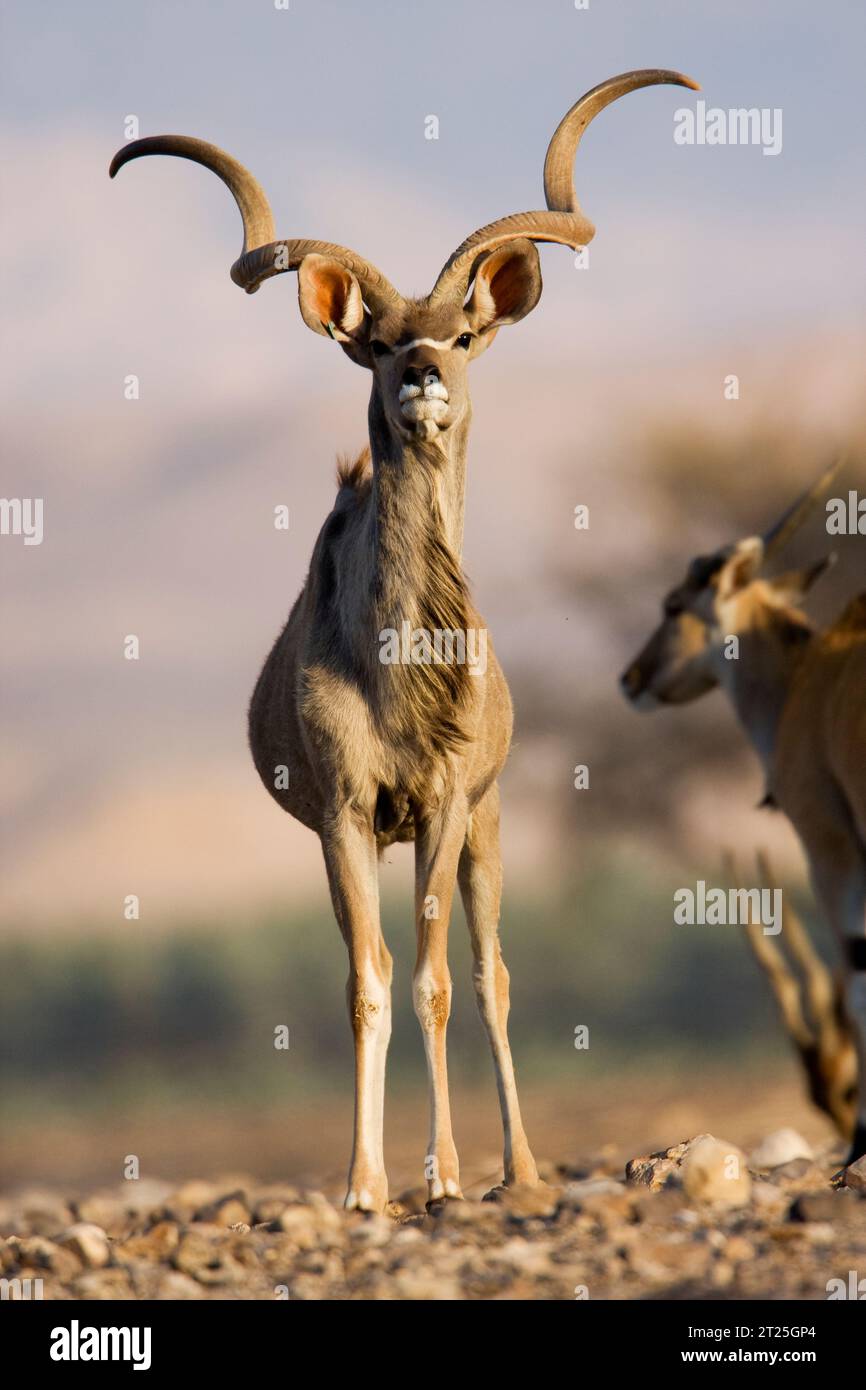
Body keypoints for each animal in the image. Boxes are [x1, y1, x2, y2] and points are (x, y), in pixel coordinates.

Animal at [111, 67, 698, 1213]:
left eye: (461, 336)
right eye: (378, 341)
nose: (423, 372)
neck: (400, 669)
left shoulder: (444, 803)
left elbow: (436, 981)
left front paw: (446, 1178)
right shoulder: (345, 815)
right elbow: (368, 984)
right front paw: (363, 1185)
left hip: (488, 824)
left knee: (488, 973)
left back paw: (517, 1168)